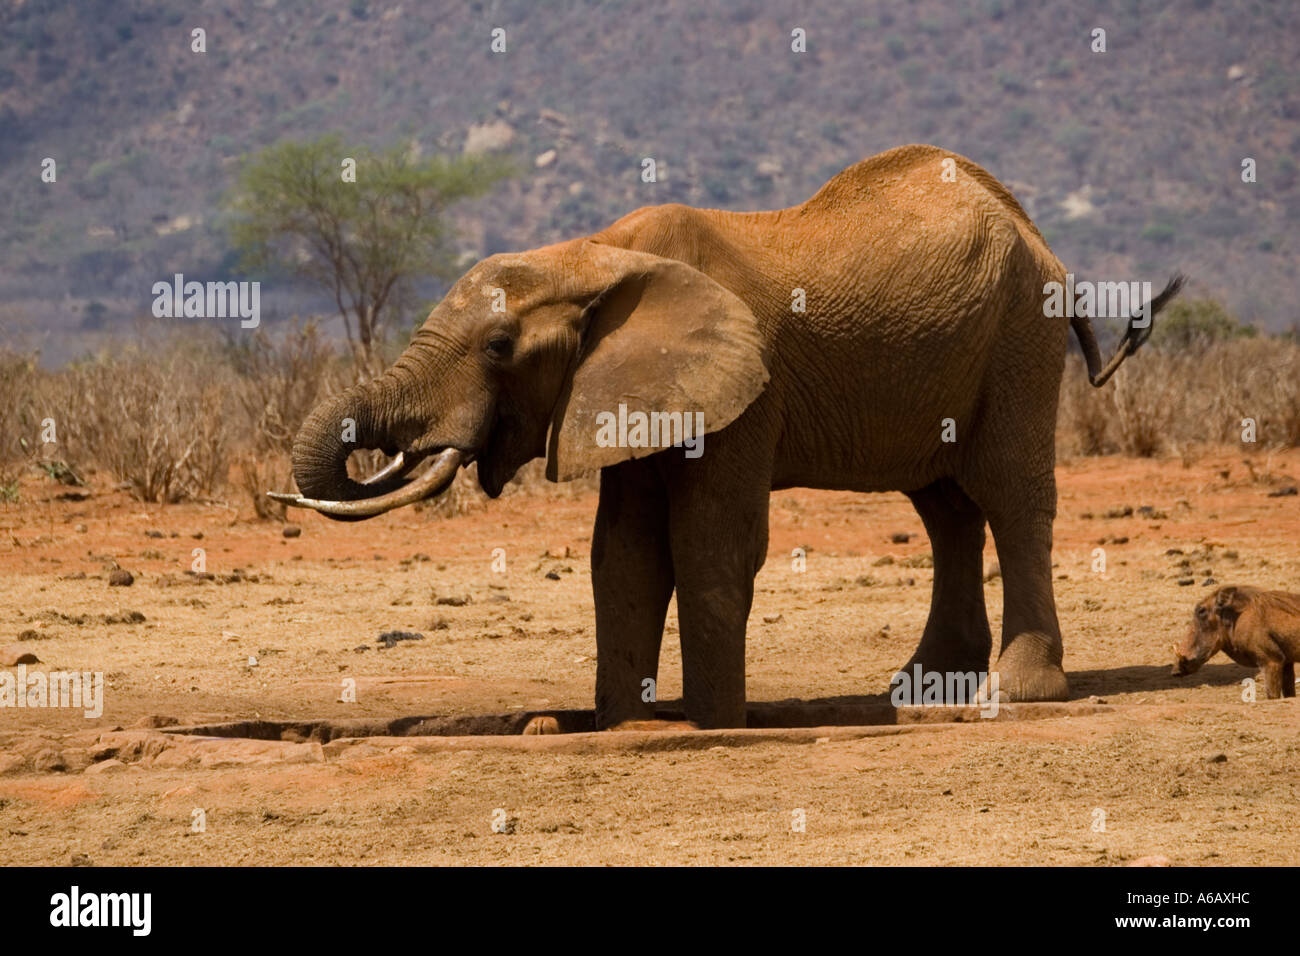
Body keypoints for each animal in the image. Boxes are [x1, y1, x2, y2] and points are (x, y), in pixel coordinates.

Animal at [275, 143, 1182, 729]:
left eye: (499, 348)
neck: (593, 256)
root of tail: (1035, 232)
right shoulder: (626, 391)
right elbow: (625, 554)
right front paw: (624, 725)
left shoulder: (747, 390)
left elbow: (710, 543)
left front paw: (715, 723)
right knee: (945, 509)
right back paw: (923, 694)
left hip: (1019, 337)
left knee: (1008, 497)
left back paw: (1018, 694)